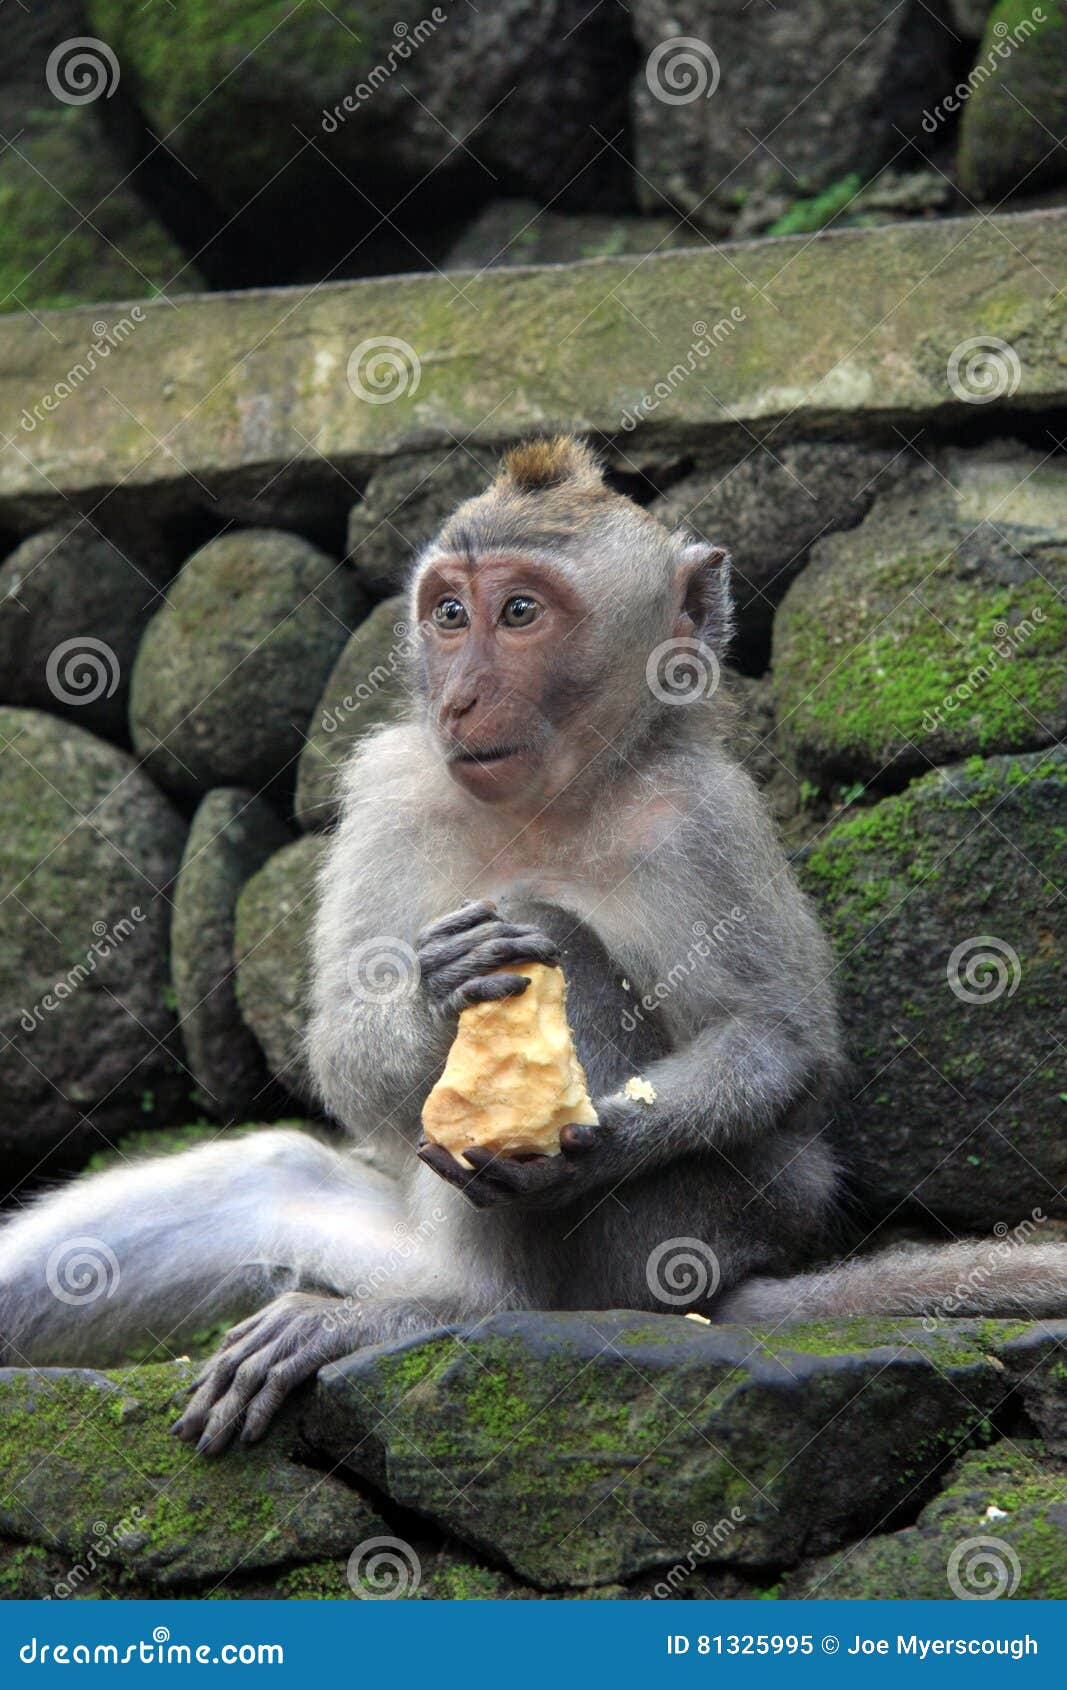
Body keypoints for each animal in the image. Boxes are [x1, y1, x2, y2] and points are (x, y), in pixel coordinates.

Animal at [1, 435, 1065, 1457]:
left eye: (518, 613)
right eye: (447, 614)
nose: (461, 699)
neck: (554, 798)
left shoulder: (707, 813)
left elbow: (780, 1048)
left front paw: (595, 1146)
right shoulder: (392, 783)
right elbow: (344, 1045)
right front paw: (432, 994)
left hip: (688, 1228)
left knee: (552, 937)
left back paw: (460, 1309)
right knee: (268, 1175)